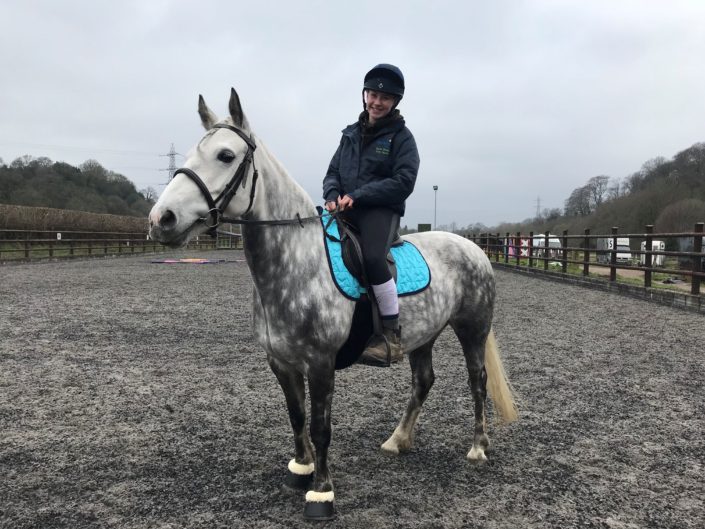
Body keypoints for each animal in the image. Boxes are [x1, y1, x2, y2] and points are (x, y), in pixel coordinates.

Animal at [148, 88, 518, 521]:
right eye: (190, 153)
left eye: (225, 155)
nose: (161, 219)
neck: (297, 263)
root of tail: (472, 247)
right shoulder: (282, 362)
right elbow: (297, 417)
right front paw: (300, 470)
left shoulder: (321, 363)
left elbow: (321, 426)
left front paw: (321, 493)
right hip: (423, 335)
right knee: (423, 381)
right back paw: (397, 440)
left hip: (472, 328)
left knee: (477, 381)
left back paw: (477, 448)